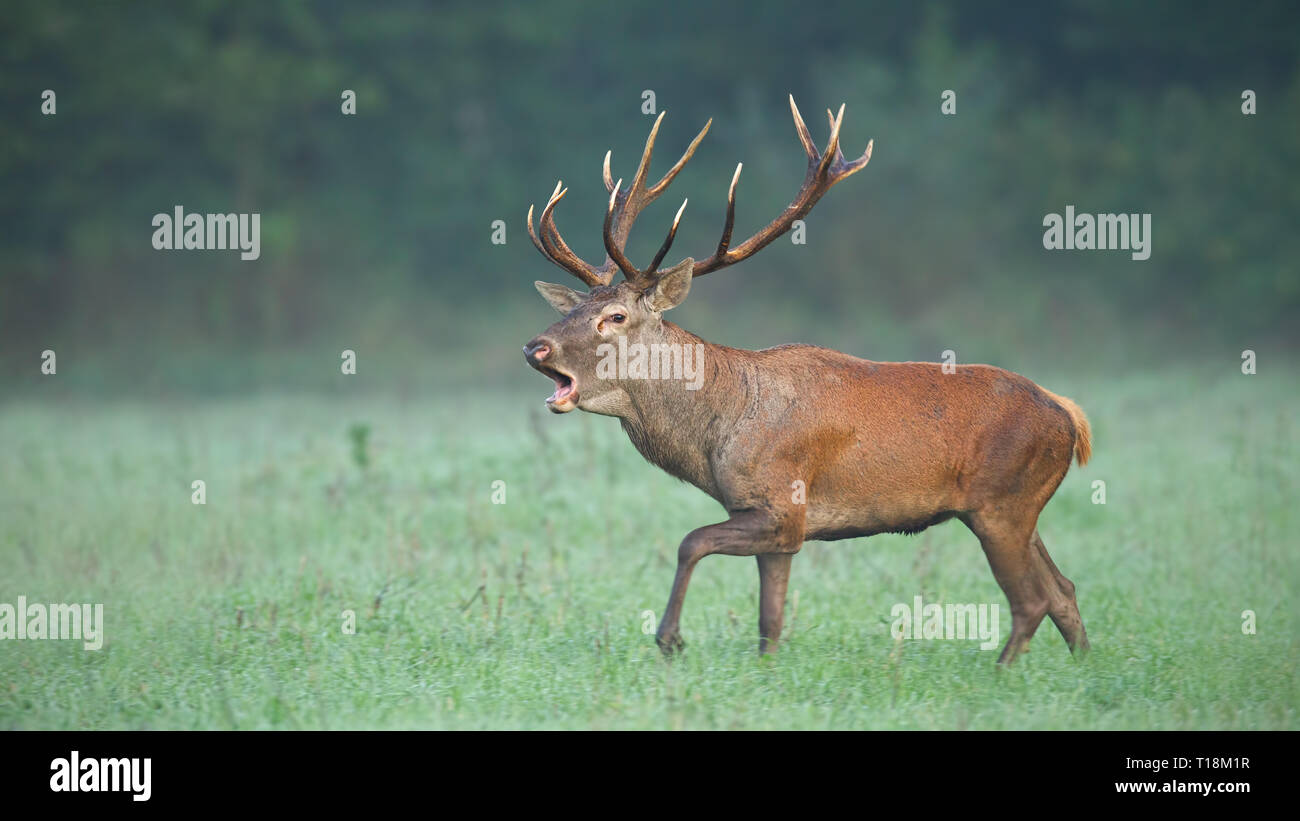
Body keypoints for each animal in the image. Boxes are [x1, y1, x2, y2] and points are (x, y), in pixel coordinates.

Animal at [522, 96, 1092, 664]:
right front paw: (763, 668)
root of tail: (1069, 416)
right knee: (1064, 589)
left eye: (615, 316)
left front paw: (669, 638)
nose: (535, 347)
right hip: (1016, 509)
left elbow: (691, 541)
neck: (715, 435)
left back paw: (1002, 672)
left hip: (1003, 504)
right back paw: (1083, 666)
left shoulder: (784, 507)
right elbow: (770, 620)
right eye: (574, 310)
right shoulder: (769, 524)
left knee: (1032, 599)